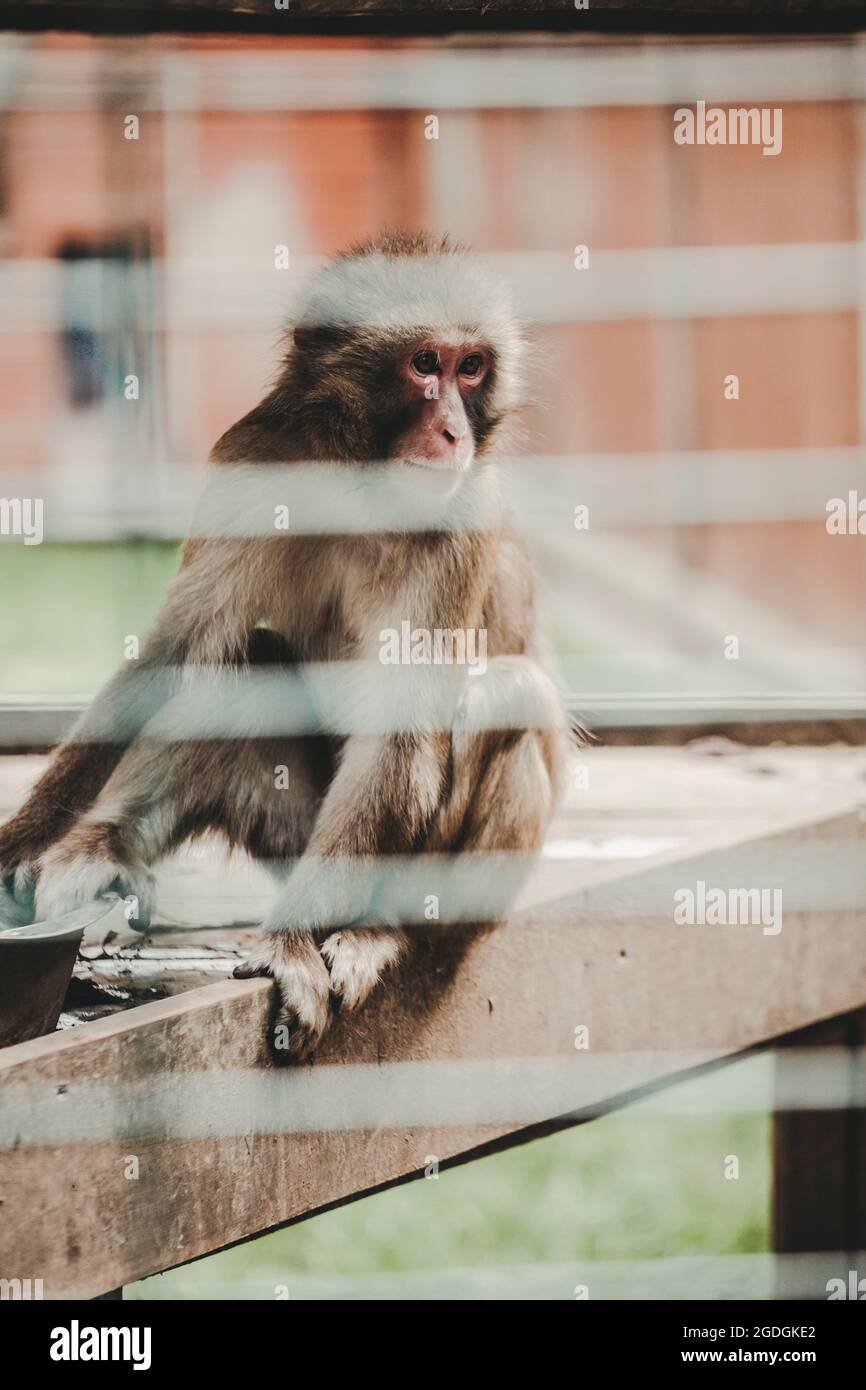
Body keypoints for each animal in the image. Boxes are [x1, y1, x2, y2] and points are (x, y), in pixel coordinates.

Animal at [0, 231, 571, 1059]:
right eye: (424, 364)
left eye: (472, 368)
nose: (454, 431)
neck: (362, 477)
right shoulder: (257, 454)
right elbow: (175, 653)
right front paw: (29, 836)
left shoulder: (463, 511)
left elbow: (402, 729)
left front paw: (291, 945)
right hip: (293, 832)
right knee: (242, 663)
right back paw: (110, 848)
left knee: (504, 695)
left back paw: (381, 928)